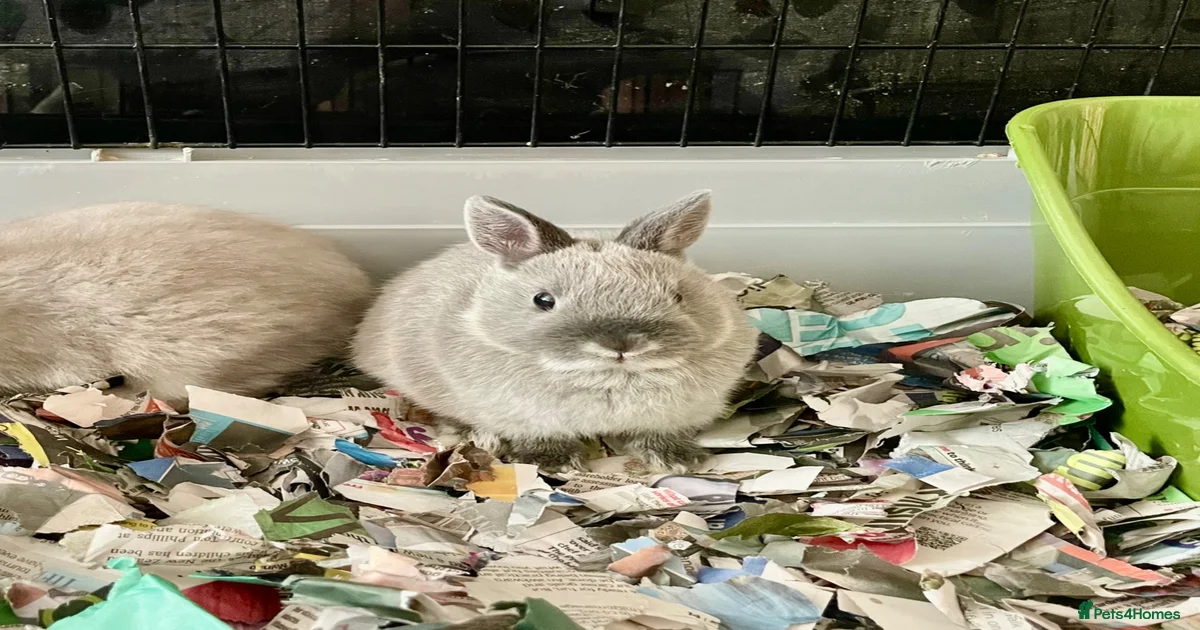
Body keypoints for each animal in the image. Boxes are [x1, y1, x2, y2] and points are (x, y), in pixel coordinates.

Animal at [353, 190, 759, 471]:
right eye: (543, 300)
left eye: (677, 296)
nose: (621, 344)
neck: (608, 377)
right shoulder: (525, 418)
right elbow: (543, 438)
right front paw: (554, 463)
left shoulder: (673, 417)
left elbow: (657, 435)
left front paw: (678, 460)